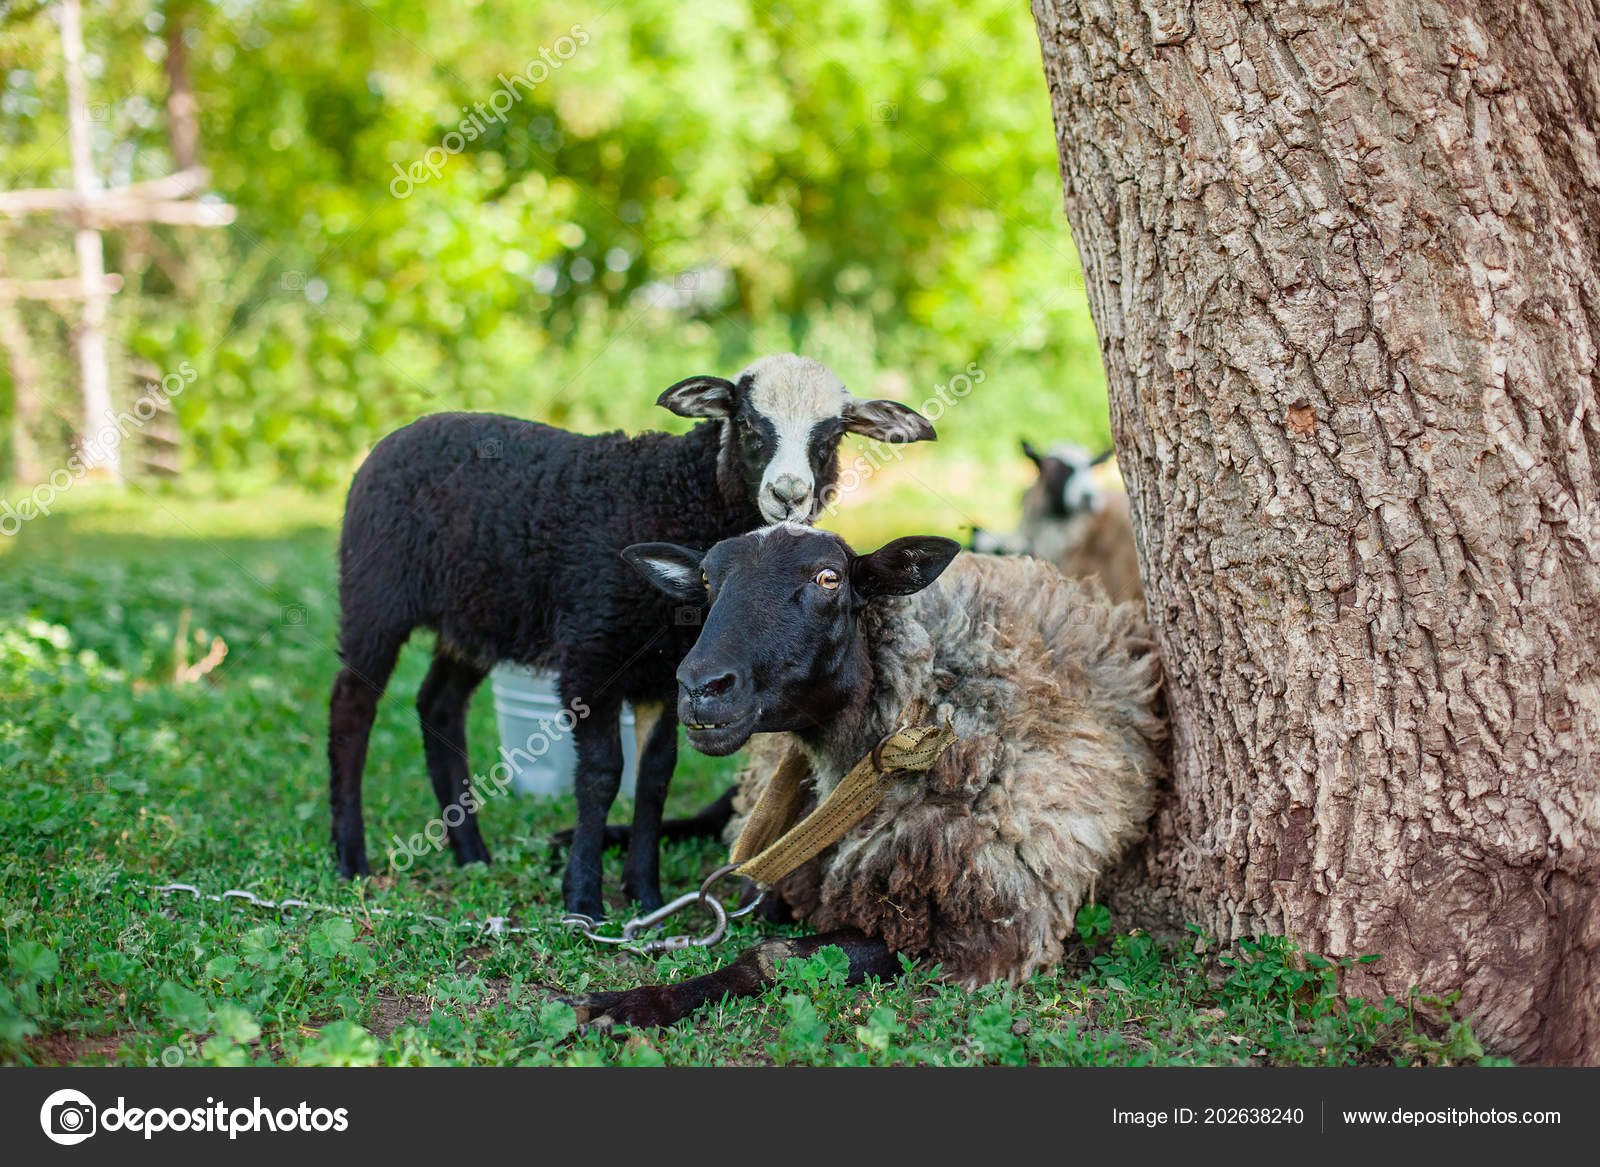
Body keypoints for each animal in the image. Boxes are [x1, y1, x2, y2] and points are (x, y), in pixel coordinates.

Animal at [327, 355, 936, 920]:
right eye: (745, 423)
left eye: (832, 435)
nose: (789, 495)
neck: (676, 495)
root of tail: (402, 433)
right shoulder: (592, 654)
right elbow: (601, 777)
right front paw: (583, 901)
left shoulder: (670, 676)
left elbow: (654, 778)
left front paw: (645, 894)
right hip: (374, 594)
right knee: (352, 709)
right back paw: (351, 859)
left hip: (472, 620)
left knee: (439, 705)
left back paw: (471, 853)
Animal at [566, 523, 1164, 1028]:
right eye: (709, 580)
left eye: (829, 578)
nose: (699, 686)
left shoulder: (961, 929)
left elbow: (770, 955)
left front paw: (638, 1002)